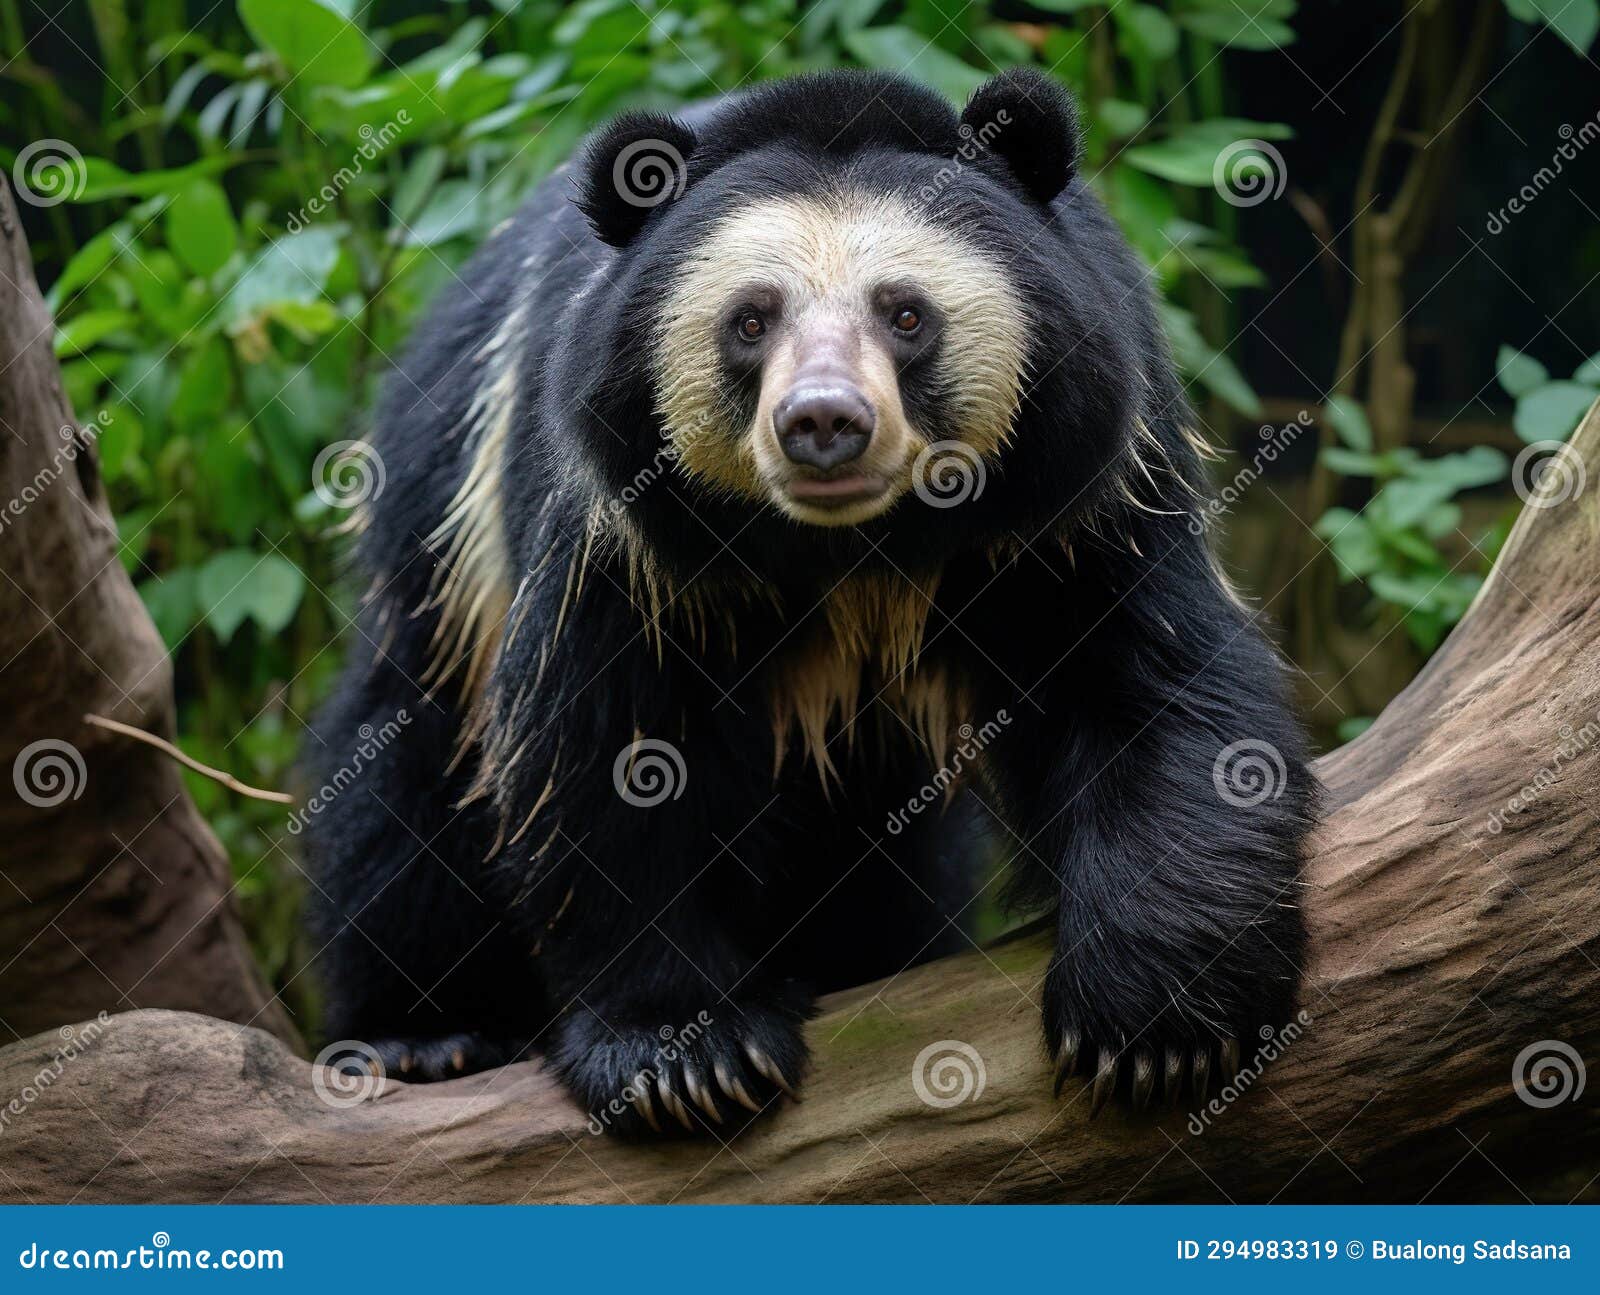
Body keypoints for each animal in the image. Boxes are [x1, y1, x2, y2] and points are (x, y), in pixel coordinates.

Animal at [302, 66, 1316, 1134]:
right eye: (752, 319)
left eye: (905, 314)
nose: (824, 423)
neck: (853, 548)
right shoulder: (621, 526)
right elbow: (607, 744)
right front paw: (686, 1053)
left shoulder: (1082, 488)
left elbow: (1153, 685)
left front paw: (1155, 1023)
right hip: (437, 522)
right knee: (403, 781)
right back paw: (425, 1032)